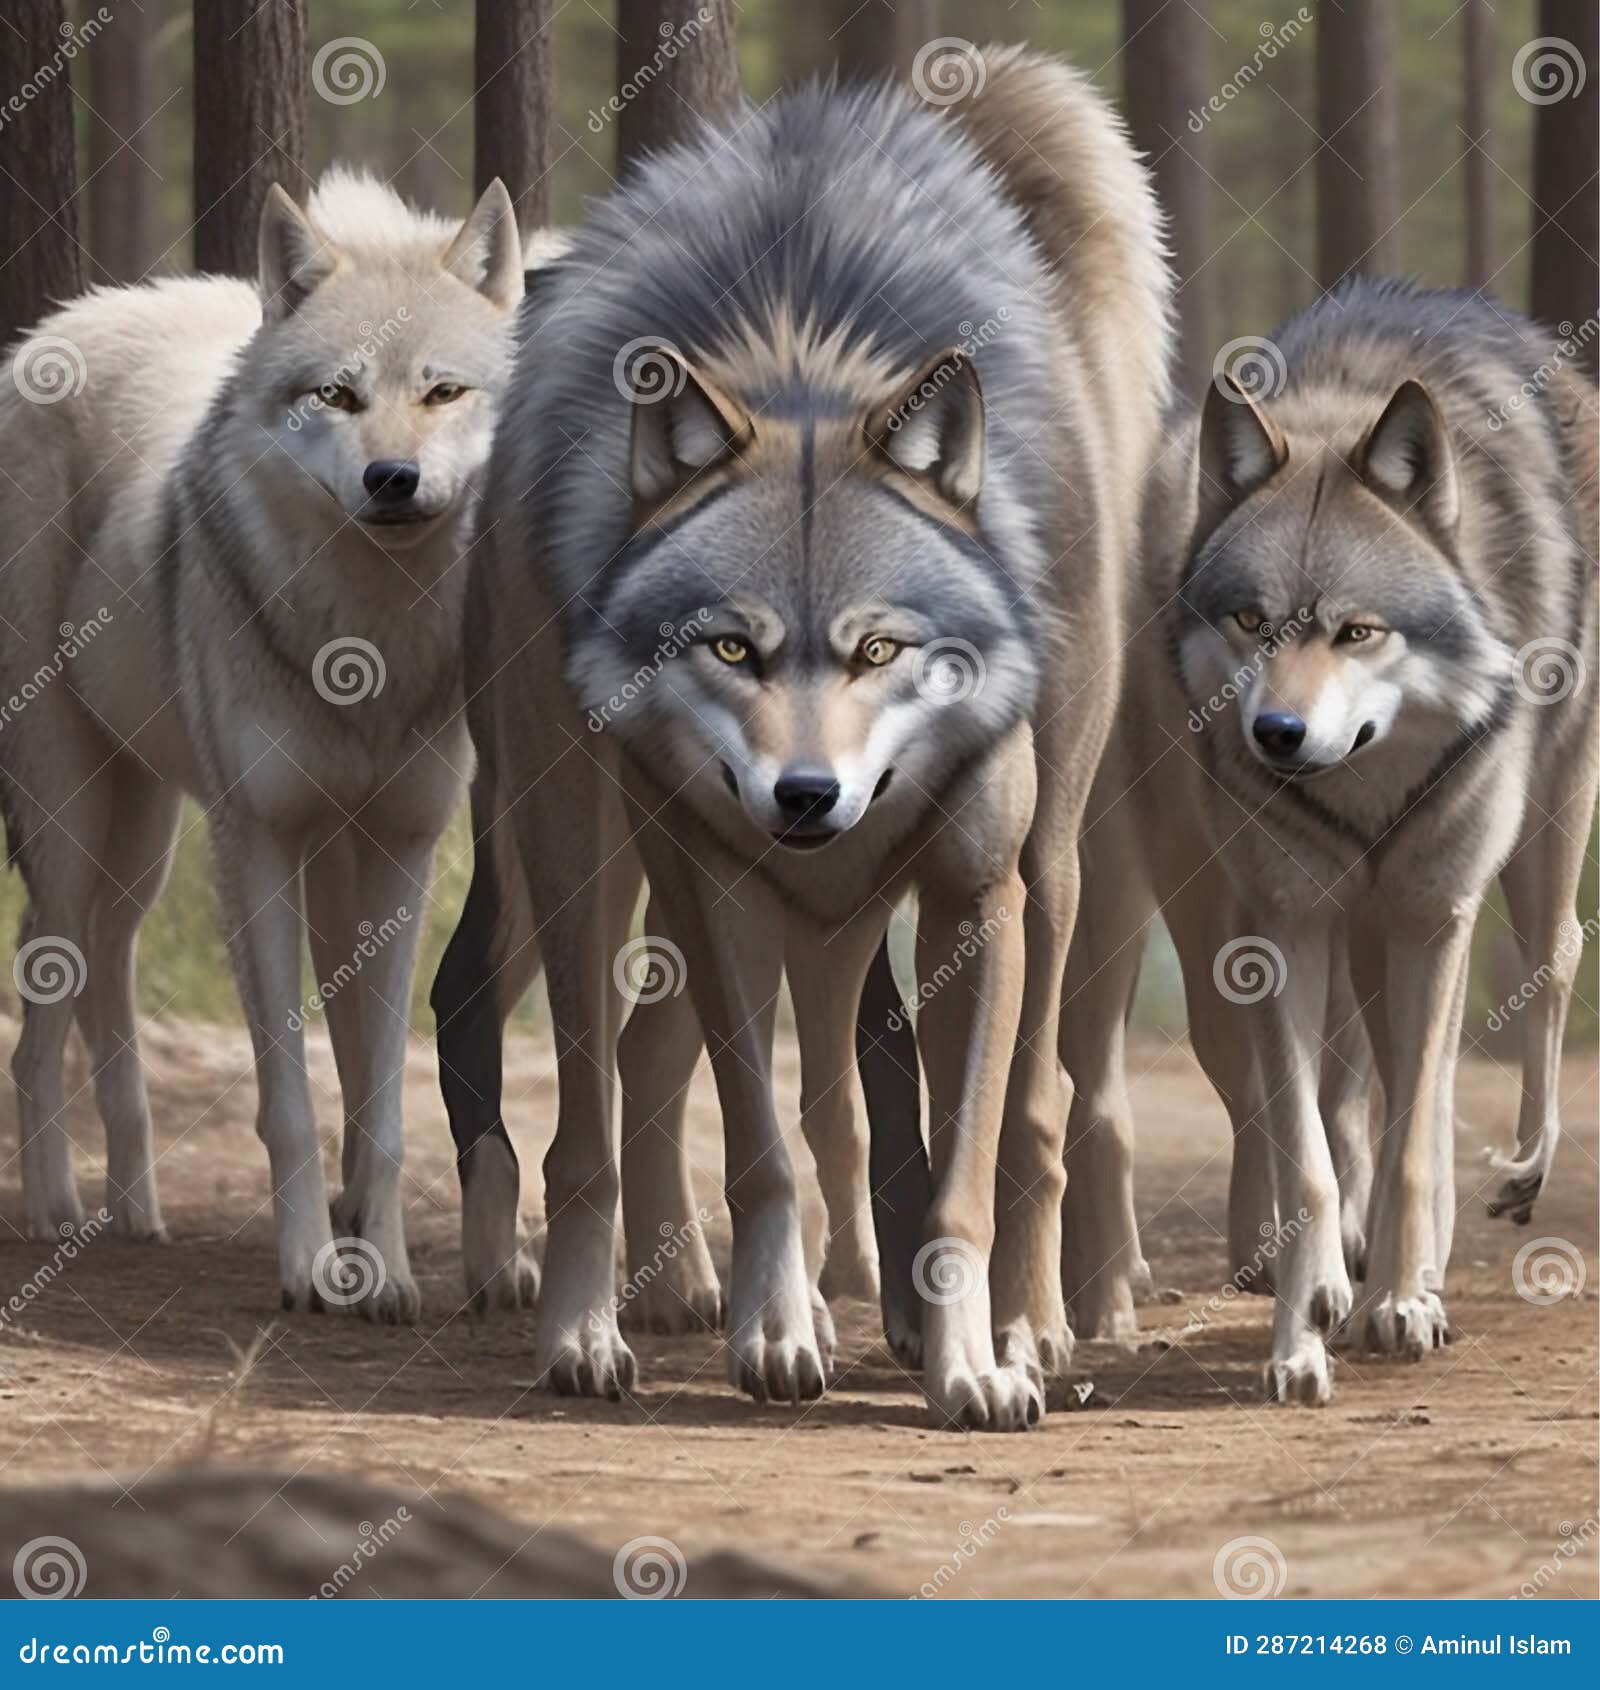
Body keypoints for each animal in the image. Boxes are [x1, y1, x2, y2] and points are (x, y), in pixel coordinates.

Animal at [0, 171, 524, 1319]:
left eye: (443, 393)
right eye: (336, 396)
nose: (391, 478)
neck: (367, 645)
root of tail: (61, 327)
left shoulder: (397, 852)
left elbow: (381, 1100)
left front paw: (387, 1273)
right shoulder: (259, 845)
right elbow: (287, 1096)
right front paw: (307, 1272)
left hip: (152, 839)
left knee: (111, 972)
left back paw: (138, 1210)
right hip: (74, 822)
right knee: (42, 1007)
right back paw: (54, 1209)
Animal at [431, 45, 1172, 1429]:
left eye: (880, 649)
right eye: (731, 648)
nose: (807, 794)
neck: (800, 356)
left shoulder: (972, 891)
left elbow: (961, 1161)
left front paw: (969, 1361)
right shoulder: (713, 874)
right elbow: (762, 1148)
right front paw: (774, 1333)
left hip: (1038, 871)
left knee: (1030, 1108)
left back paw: (1033, 1326)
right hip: (577, 849)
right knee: (594, 1106)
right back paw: (594, 1327)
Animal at [1137, 279, 1598, 1404]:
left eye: (1356, 631)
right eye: (1251, 621)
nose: (1277, 733)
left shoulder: (1435, 915)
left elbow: (1412, 1143)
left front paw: (1400, 1303)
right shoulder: (1286, 925)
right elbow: (1309, 1152)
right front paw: (1302, 1335)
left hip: (1537, 837)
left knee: (1551, 965)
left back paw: (1510, 1185)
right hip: (1293, 924)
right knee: (1350, 1084)